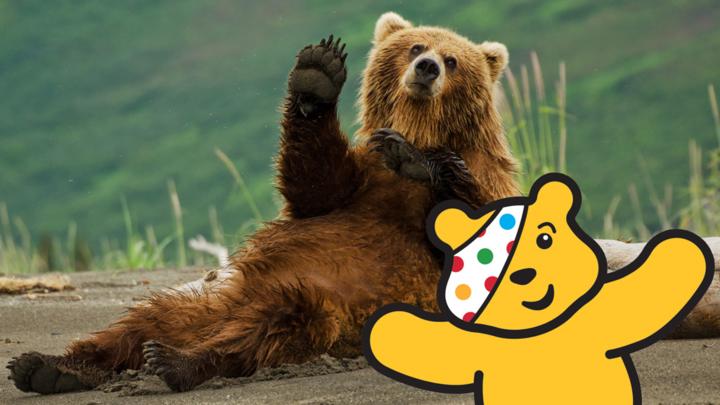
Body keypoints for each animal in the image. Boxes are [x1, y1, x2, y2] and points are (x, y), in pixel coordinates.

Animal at [7, 12, 518, 393]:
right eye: (415, 47)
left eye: (452, 59)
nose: (428, 67)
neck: (422, 128)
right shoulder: (358, 184)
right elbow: (314, 181)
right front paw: (317, 75)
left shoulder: (480, 181)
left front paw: (419, 161)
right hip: (205, 301)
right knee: (139, 320)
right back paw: (49, 366)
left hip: (323, 308)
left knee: (265, 329)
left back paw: (177, 361)